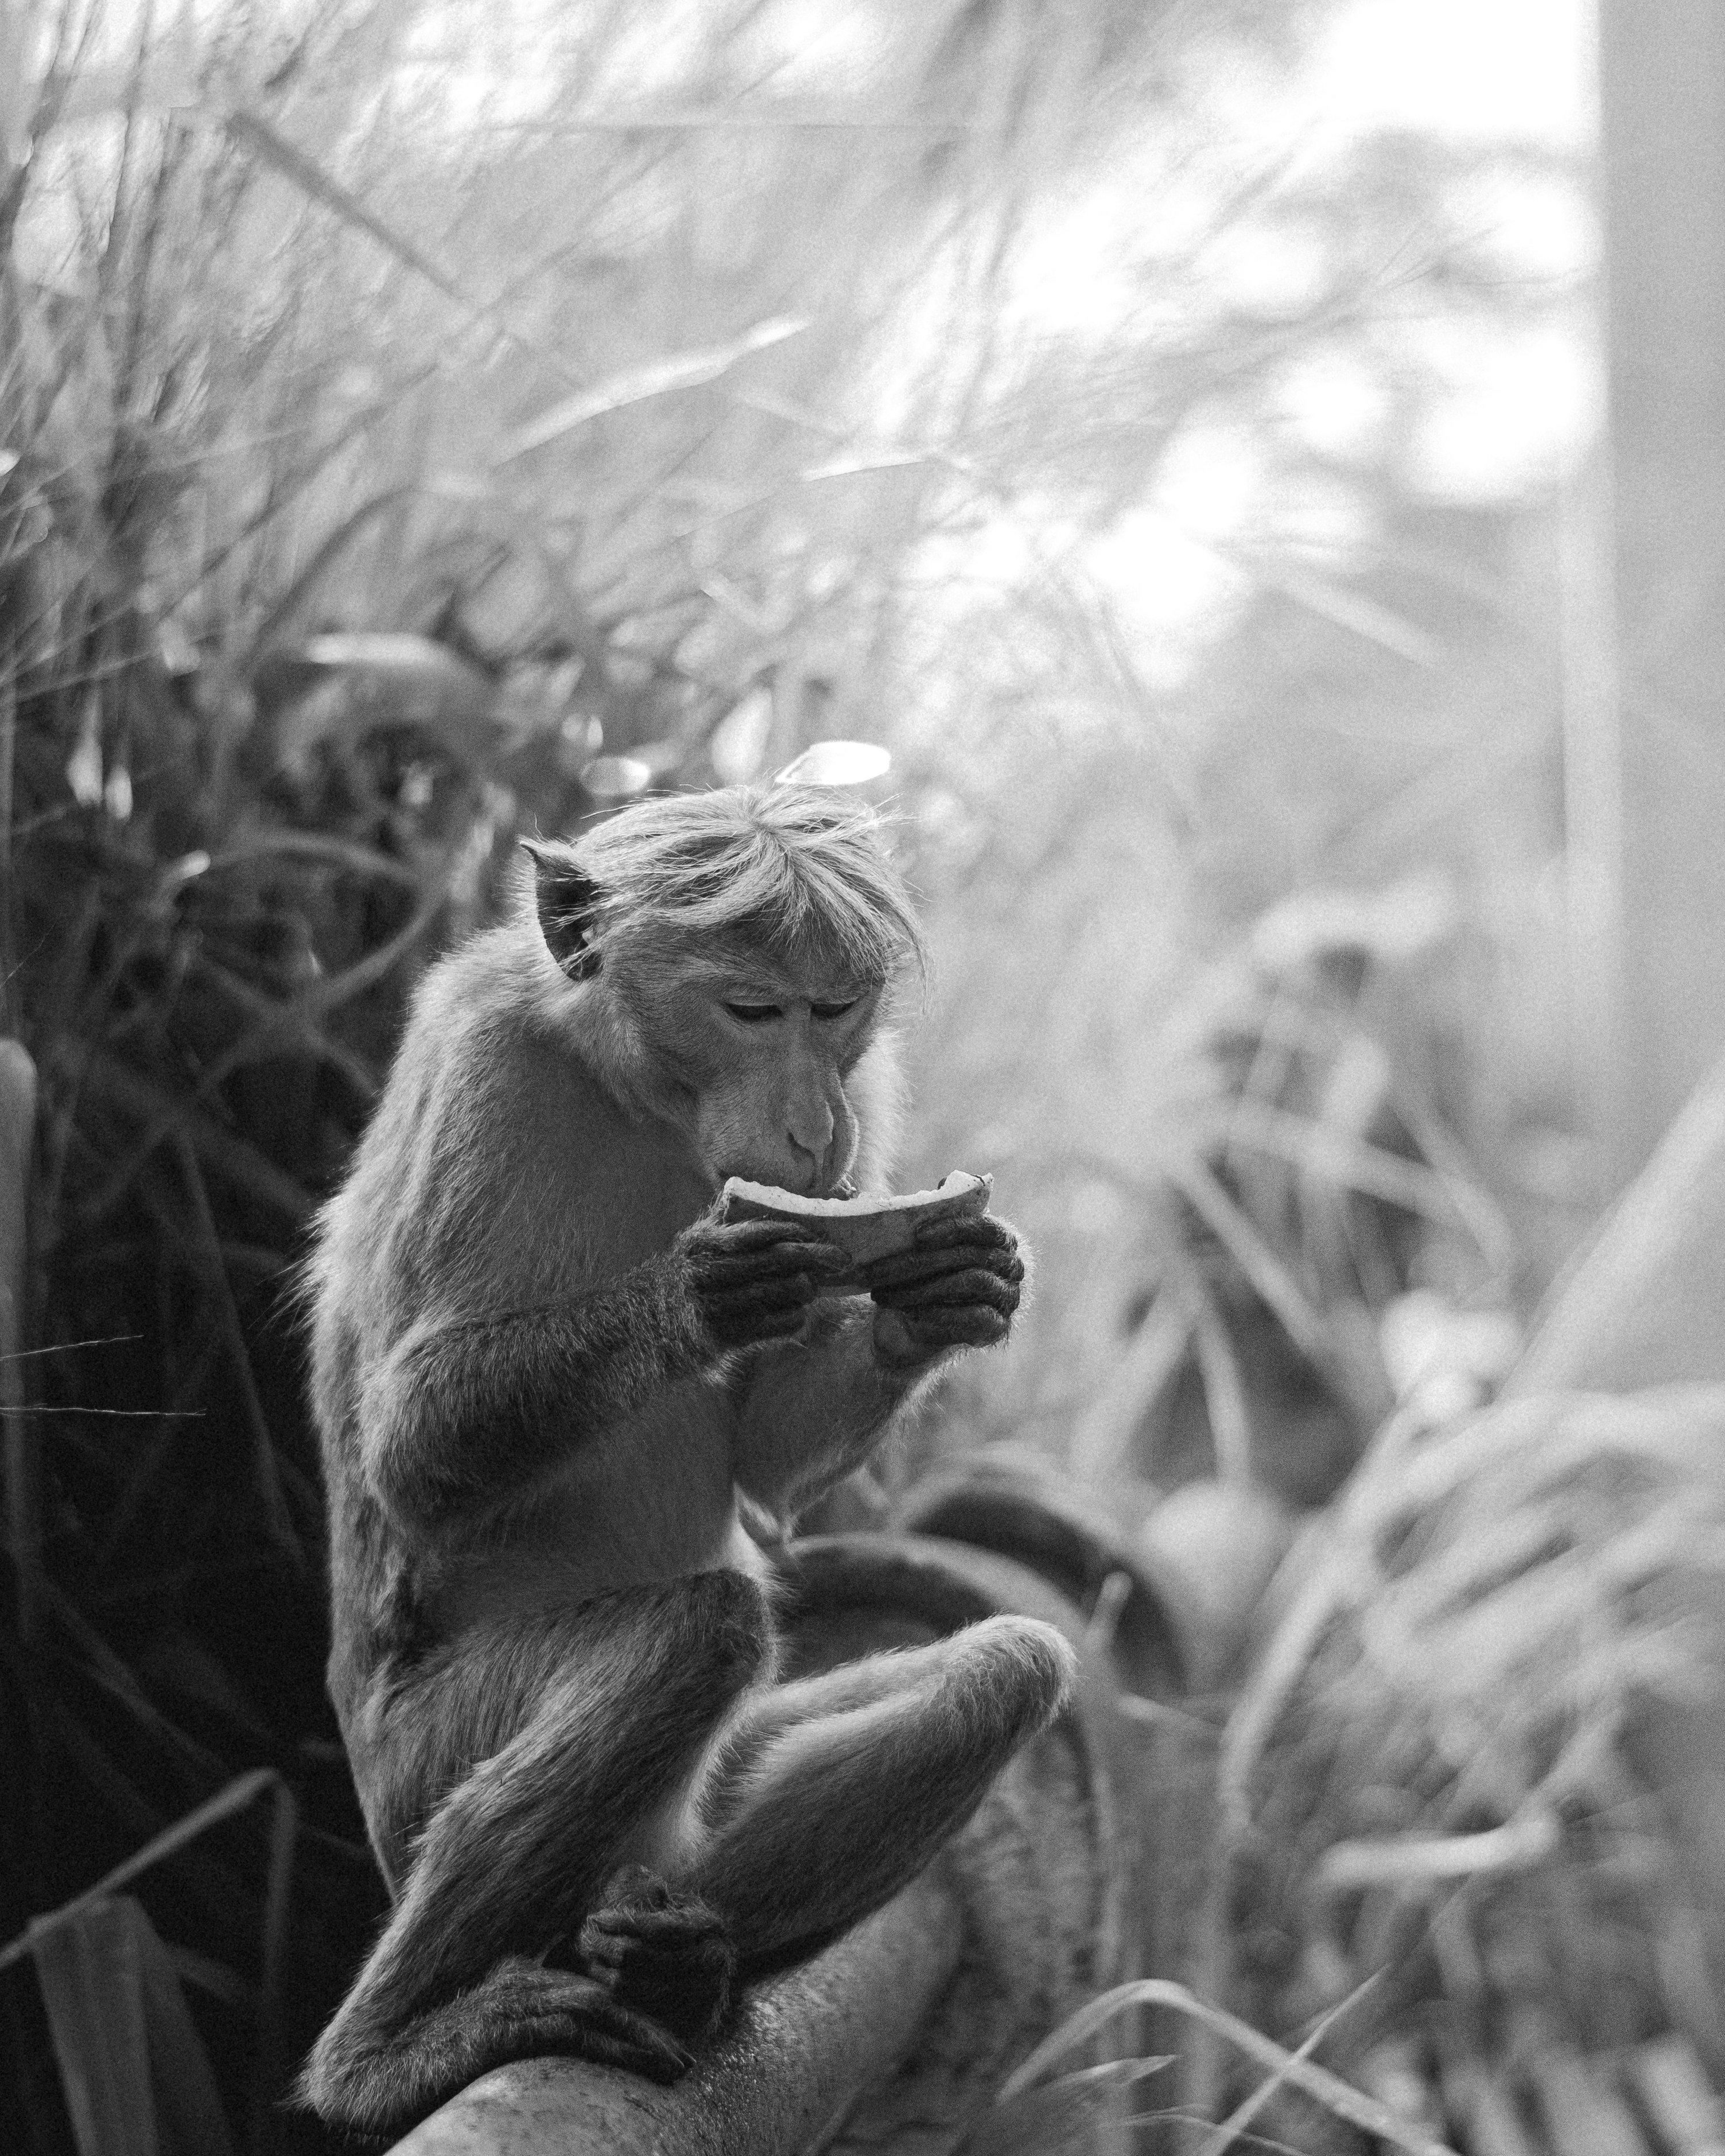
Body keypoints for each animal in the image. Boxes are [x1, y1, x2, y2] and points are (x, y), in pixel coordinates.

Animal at [297, 783, 1075, 2138]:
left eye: (835, 1009)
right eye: (751, 1009)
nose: (813, 1126)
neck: (634, 1097)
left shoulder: (870, 1089)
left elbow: (766, 1458)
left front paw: (947, 1292)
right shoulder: (483, 1071)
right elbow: (411, 1449)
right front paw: (701, 1294)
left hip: (693, 1820)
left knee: (999, 1672)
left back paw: (683, 1959)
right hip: (423, 1764)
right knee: (696, 1631)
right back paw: (385, 2051)